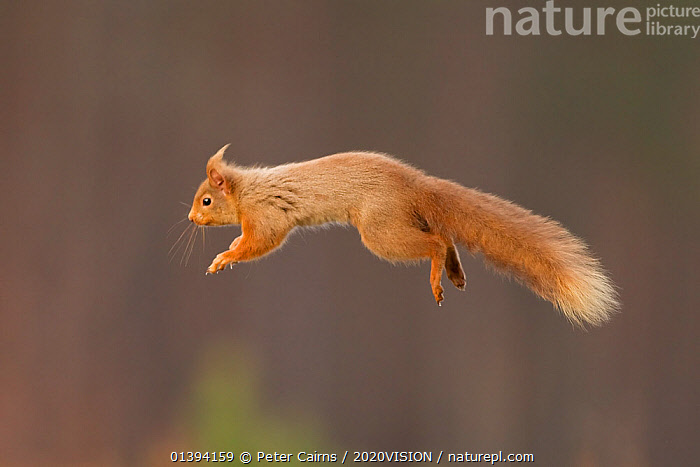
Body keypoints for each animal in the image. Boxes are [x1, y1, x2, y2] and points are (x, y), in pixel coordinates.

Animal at [188, 144, 619, 327]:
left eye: (206, 200)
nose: (191, 217)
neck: (246, 190)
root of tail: (414, 185)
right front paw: (229, 248)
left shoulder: (267, 217)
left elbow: (260, 243)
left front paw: (223, 258)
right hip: (398, 223)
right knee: (445, 236)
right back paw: (455, 273)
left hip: (381, 231)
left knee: (436, 242)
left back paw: (438, 280)